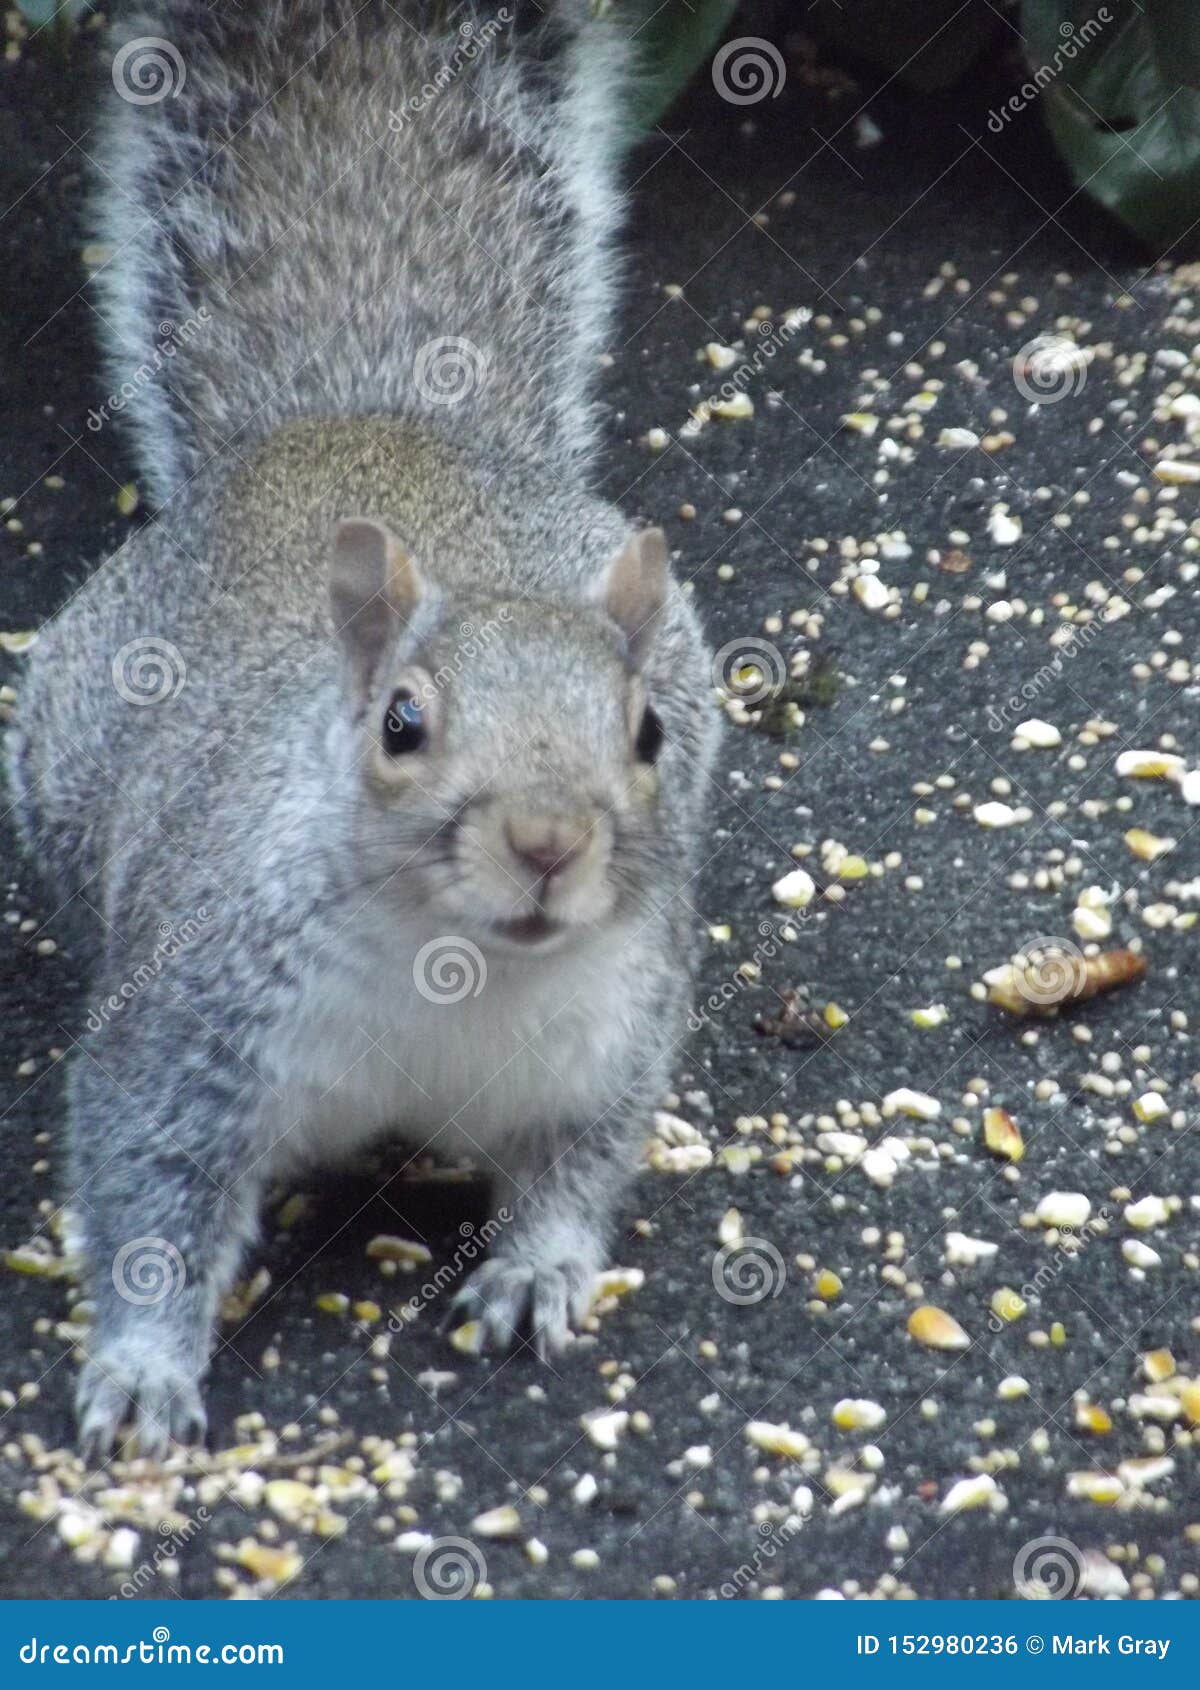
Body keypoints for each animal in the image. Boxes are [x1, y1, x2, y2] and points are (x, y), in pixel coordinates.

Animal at [6, 0, 718, 1459]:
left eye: (648, 733)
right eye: (402, 721)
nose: (548, 842)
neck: (461, 968)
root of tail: (353, 417)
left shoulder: (613, 1040)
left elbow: (576, 1166)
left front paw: (535, 1271)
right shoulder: (190, 1026)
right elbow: (148, 1185)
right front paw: (143, 1373)